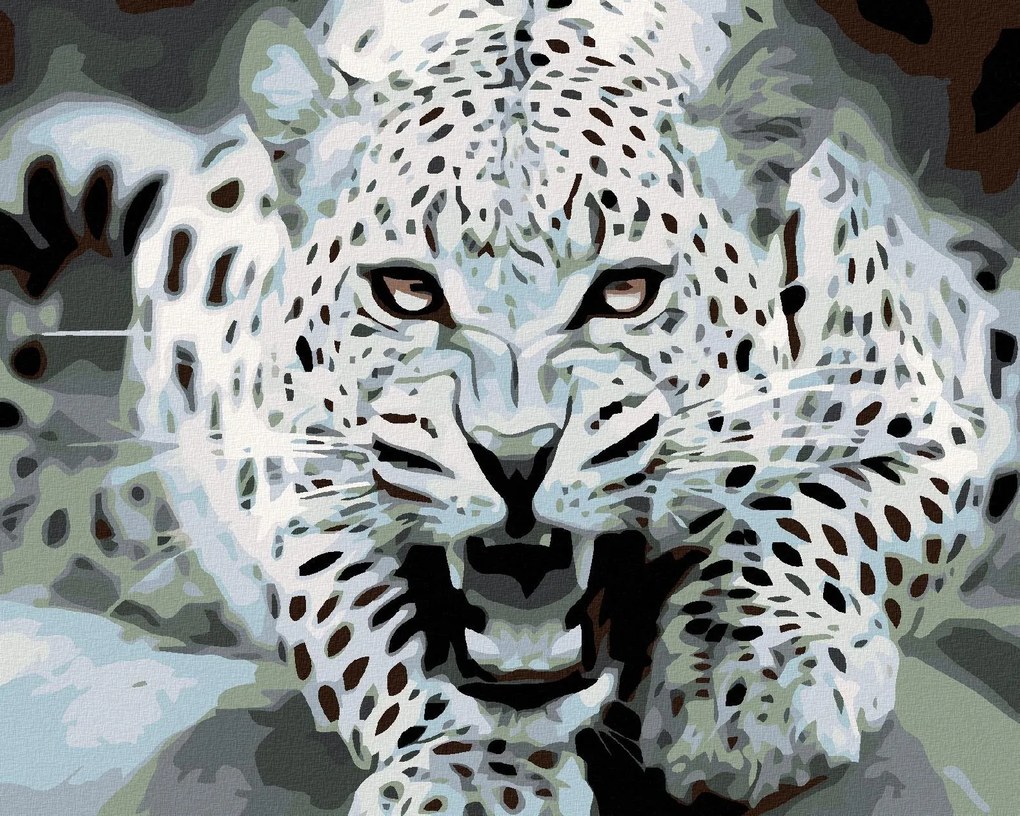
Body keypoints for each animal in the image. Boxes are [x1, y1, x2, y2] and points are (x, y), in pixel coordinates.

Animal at [0, 0, 1016, 813]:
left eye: (625, 292)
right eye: (408, 291)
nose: (516, 457)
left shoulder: (947, 423)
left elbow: (806, 517)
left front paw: (746, 689)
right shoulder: (303, 497)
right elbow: (372, 633)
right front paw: (478, 775)